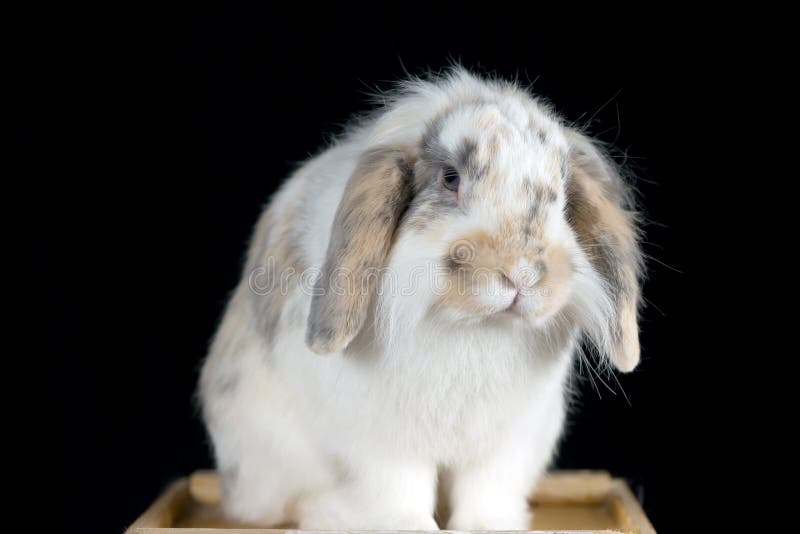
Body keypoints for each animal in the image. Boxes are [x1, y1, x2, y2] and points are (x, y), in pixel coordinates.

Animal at [198, 67, 642, 530]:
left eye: (562, 192)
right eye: (450, 178)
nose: (522, 272)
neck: (472, 328)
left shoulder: (504, 444)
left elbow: (486, 488)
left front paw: (487, 526)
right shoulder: (384, 441)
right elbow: (399, 486)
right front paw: (406, 524)